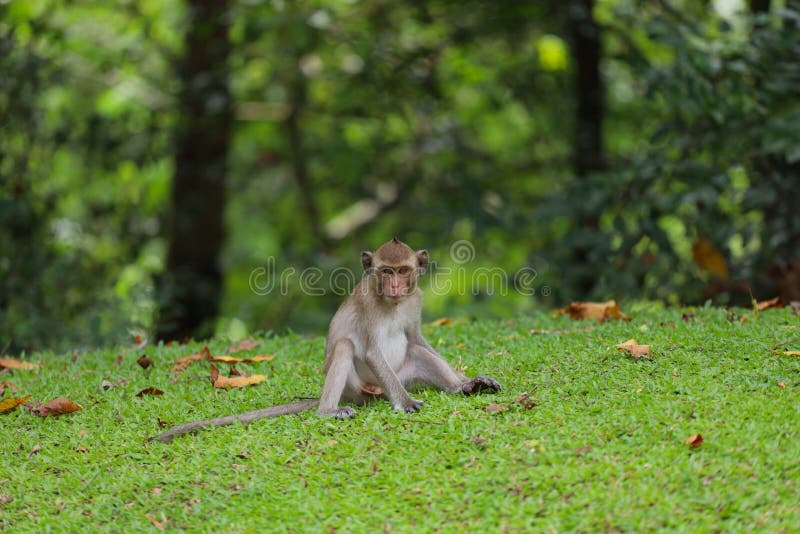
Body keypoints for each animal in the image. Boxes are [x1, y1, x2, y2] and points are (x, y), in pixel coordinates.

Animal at [151, 238, 501, 443]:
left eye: (403, 271)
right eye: (386, 272)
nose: (396, 287)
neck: (393, 303)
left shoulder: (416, 300)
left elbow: (417, 338)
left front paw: (467, 380)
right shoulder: (368, 305)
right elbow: (372, 352)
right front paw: (405, 403)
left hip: (401, 375)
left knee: (414, 350)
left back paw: (461, 388)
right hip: (359, 387)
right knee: (346, 347)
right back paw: (329, 411)